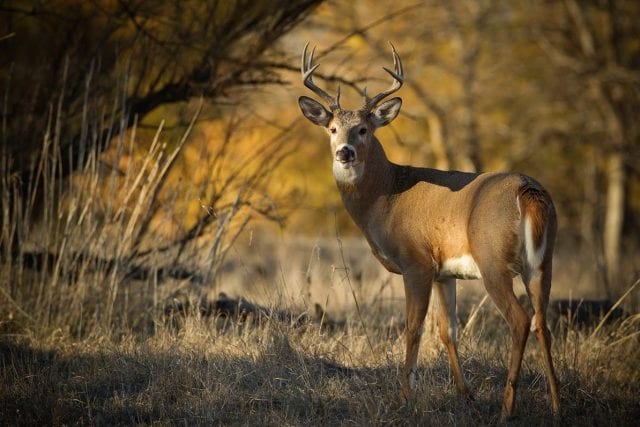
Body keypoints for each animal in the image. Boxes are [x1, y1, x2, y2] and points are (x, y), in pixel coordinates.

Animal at [298, 43, 560, 421]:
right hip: (543, 262)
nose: (344, 153)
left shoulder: (416, 262)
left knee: (520, 320)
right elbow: (447, 330)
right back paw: (556, 406)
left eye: (363, 129)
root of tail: (528, 190)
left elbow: (413, 328)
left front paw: (405, 396)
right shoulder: (443, 272)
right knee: (544, 322)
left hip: (493, 261)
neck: (386, 196)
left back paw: (507, 409)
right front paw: (465, 394)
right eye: (332, 128)